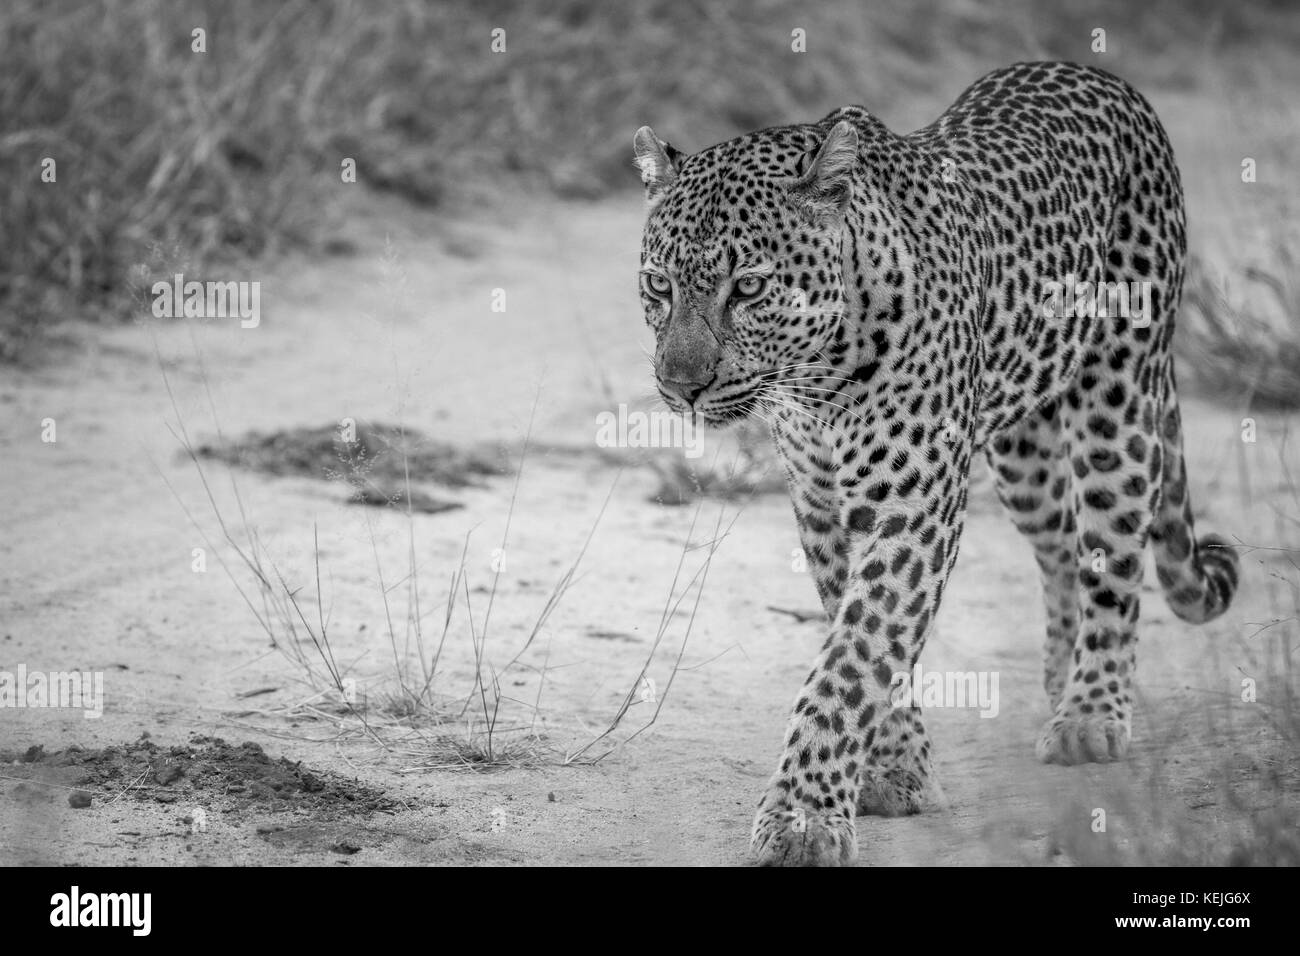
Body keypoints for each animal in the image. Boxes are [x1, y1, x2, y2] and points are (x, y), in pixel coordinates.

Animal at [631, 61, 1240, 866]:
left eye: (750, 287)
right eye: (658, 285)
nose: (680, 386)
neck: (816, 375)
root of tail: (1100, 74)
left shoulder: (911, 505)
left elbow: (853, 659)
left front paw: (803, 817)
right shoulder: (824, 508)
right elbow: (862, 637)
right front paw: (896, 770)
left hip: (1119, 399)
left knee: (1114, 552)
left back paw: (1090, 711)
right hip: (1021, 450)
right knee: (1061, 543)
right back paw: (1061, 674)